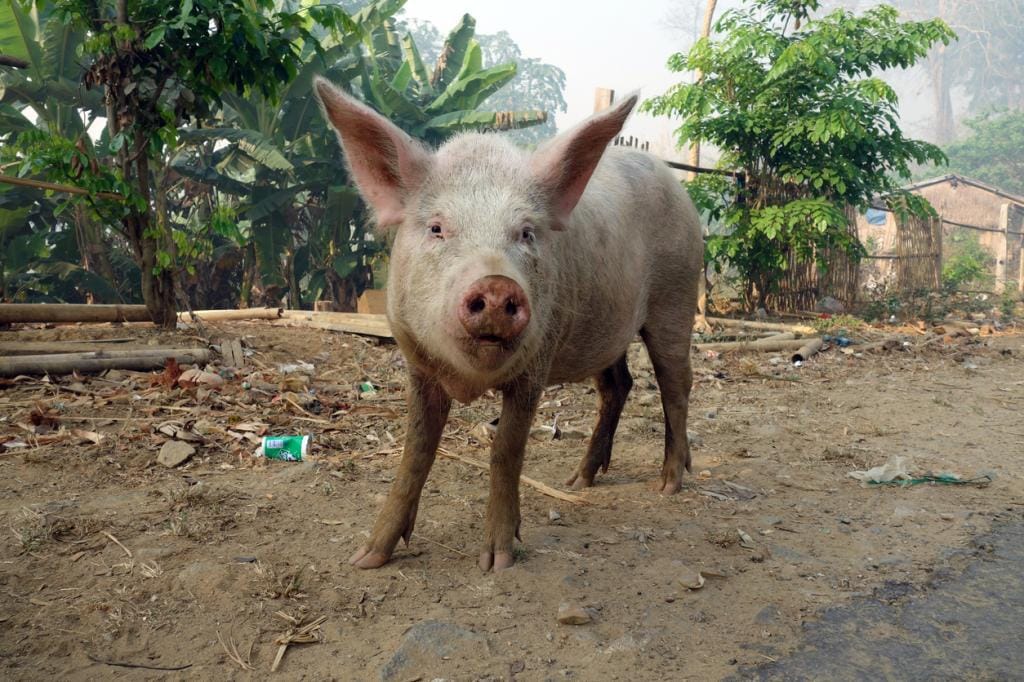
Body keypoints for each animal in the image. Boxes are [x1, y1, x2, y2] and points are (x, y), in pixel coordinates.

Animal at [315, 77, 702, 572]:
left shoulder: (536, 364)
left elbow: (506, 450)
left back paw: (669, 484)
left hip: (677, 296)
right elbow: (416, 451)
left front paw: (497, 561)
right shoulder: (417, 364)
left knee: (676, 383)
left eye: (526, 232)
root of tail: (674, 181)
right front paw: (367, 558)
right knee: (619, 385)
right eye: (437, 228)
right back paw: (579, 481)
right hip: (606, 329)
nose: (498, 287)